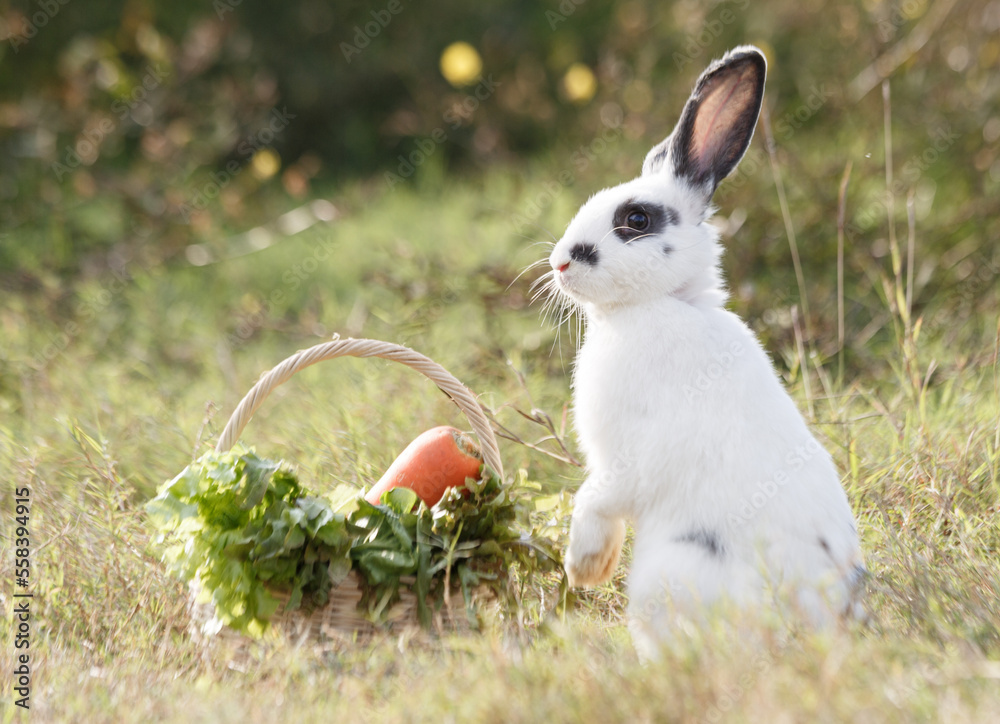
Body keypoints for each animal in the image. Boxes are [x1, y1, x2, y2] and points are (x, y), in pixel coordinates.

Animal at [540, 46, 865, 657]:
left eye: (636, 219)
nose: (561, 261)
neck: (663, 303)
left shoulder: (627, 458)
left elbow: (596, 500)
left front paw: (583, 568)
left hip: (669, 571)